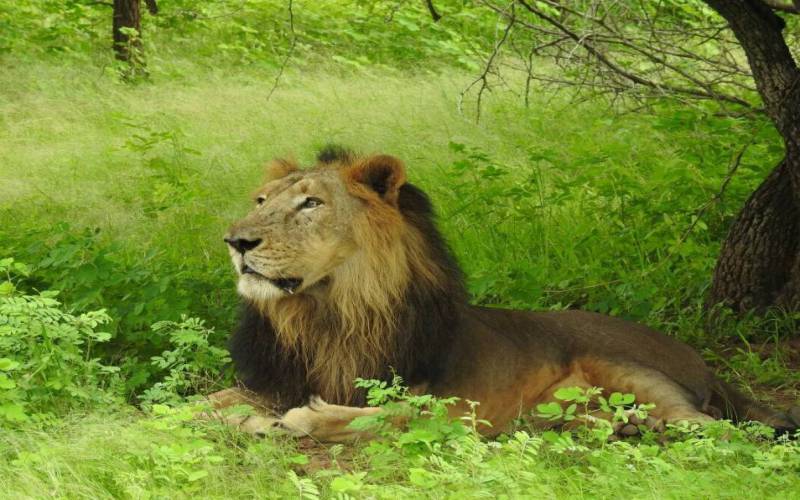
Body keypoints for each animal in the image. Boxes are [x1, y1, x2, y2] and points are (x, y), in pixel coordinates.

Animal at [208, 145, 799, 441]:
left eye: (311, 203)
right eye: (261, 199)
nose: (236, 241)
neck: (329, 311)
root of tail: (704, 362)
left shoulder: (456, 406)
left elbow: (390, 414)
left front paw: (301, 418)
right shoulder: (272, 378)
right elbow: (203, 403)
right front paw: (238, 417)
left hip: (624, 366)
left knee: (718, 429)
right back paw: (621, 428)